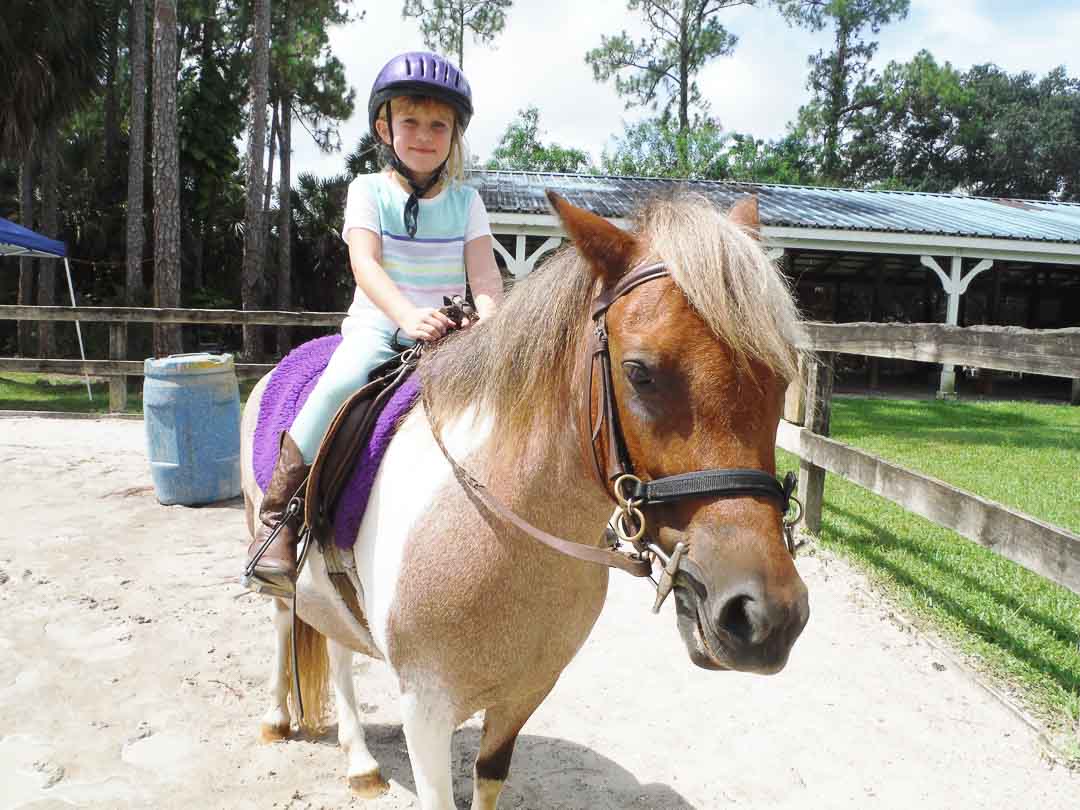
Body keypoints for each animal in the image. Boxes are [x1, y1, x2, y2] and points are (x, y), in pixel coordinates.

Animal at [239, 191, 810, 810]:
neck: (502, 532)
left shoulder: (525, 695)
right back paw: (281, 721)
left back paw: (360, 761)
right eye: (639, 373)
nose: (766, 617)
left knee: (335, 641)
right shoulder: (424, 708)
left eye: (783, 378)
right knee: (285, 622)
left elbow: (489, 777)